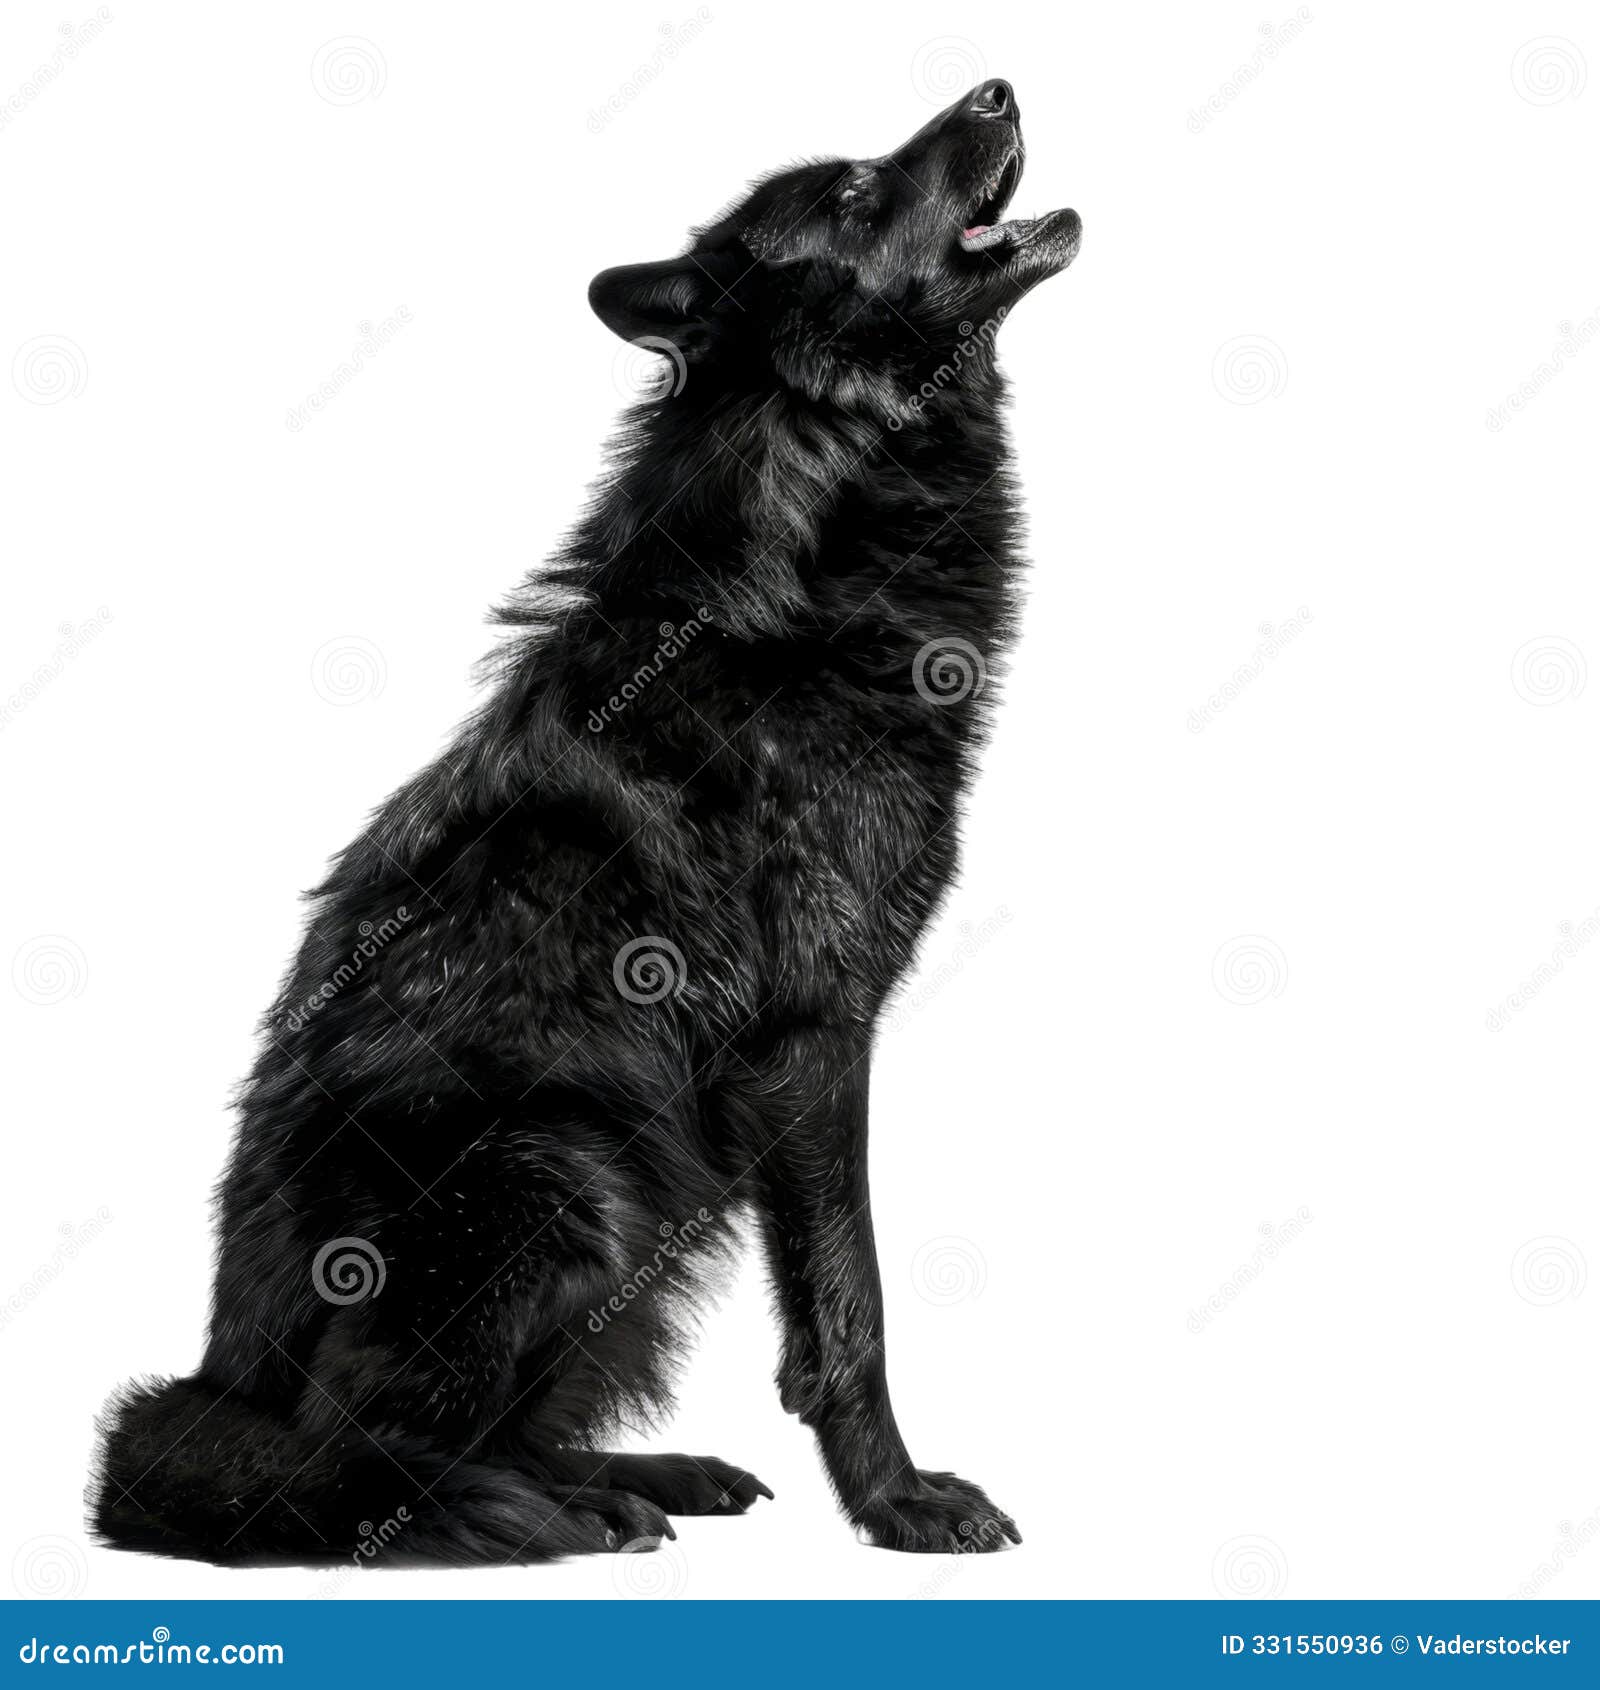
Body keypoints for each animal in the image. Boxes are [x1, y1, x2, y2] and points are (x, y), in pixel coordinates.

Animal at [92, 79, 1081, 1563]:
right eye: (855, 194)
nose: (996, 87)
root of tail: (224, 1377)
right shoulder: (811, 1040)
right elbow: (851, 1307)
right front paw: (900, 1501)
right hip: (569, 1170)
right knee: (365, 1456)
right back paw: (545, 1514)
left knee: (485, 1429)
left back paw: (639, 1478)